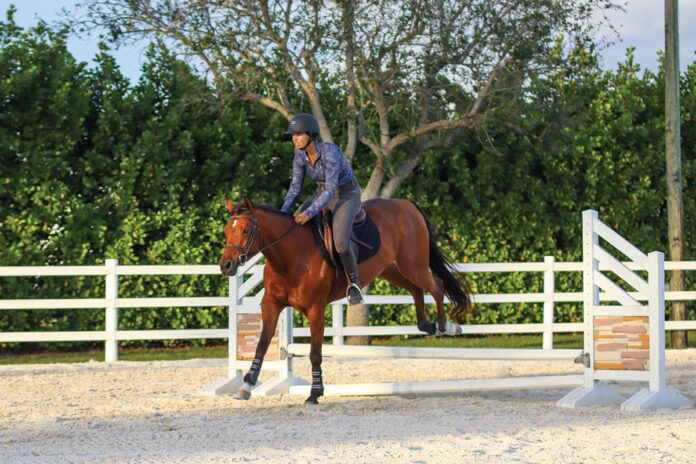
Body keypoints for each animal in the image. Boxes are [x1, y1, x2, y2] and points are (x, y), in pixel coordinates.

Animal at [219, 196, 472, 404]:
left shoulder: (316, 309)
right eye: (226, 230)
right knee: (417, 290)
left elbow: (315, 353)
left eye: (245, 230)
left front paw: (315, 393)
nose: (226, 266)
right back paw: (428, 325)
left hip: (413, 265)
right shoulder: (271, 305)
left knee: (436, 286)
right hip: (391, 269)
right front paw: (246, 386)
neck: (290, 257)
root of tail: (407, 204)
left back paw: (445, 327)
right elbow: (261, 345)